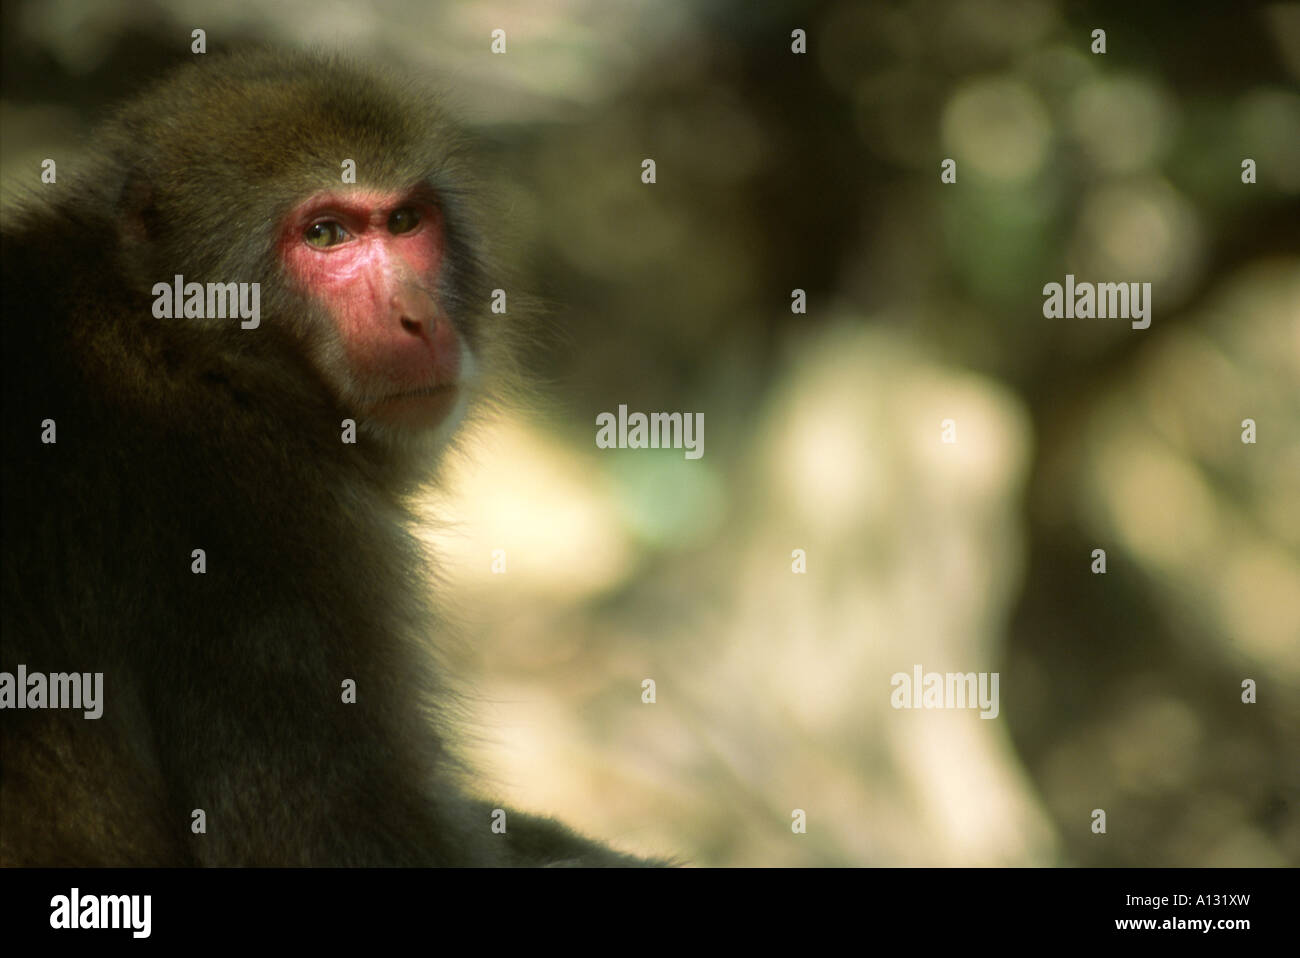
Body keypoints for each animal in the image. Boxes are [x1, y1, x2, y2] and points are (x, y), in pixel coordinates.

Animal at [0, 50, 652, 866]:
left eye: (403, 222)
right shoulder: (275, 536)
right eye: (325, 234)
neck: (195, 352)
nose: (416, 318)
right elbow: (338, 843)